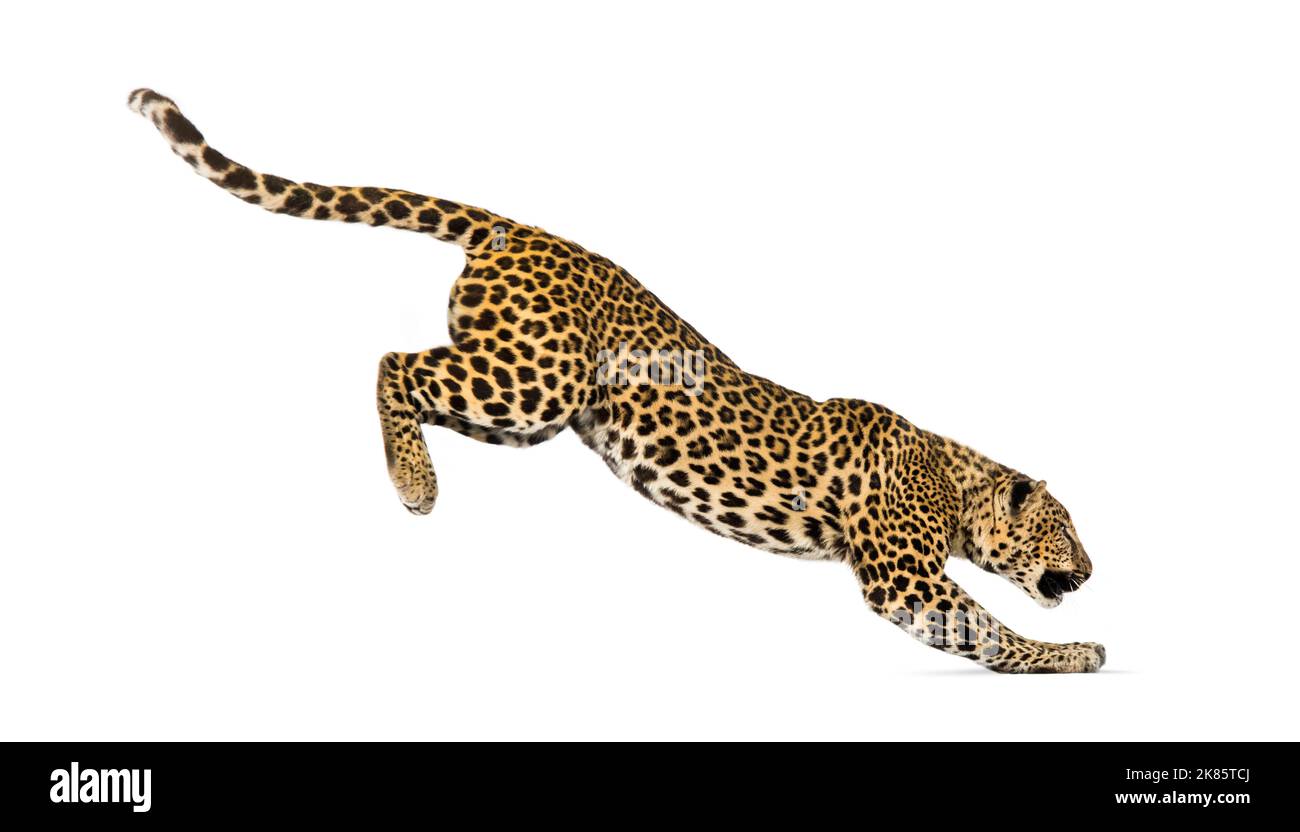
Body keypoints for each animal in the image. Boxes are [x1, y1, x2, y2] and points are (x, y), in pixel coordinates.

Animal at [128, 89, 1104, 673]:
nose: (1092, 571)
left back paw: (420, 474)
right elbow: (989, 629)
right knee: (391, 362)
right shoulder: (904, 576)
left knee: (415, 377)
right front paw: (1075, 655)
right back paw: (415, 486)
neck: (956, 478)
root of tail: (518, 229)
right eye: (1065, 528)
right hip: (532, 382)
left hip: (530, 412)